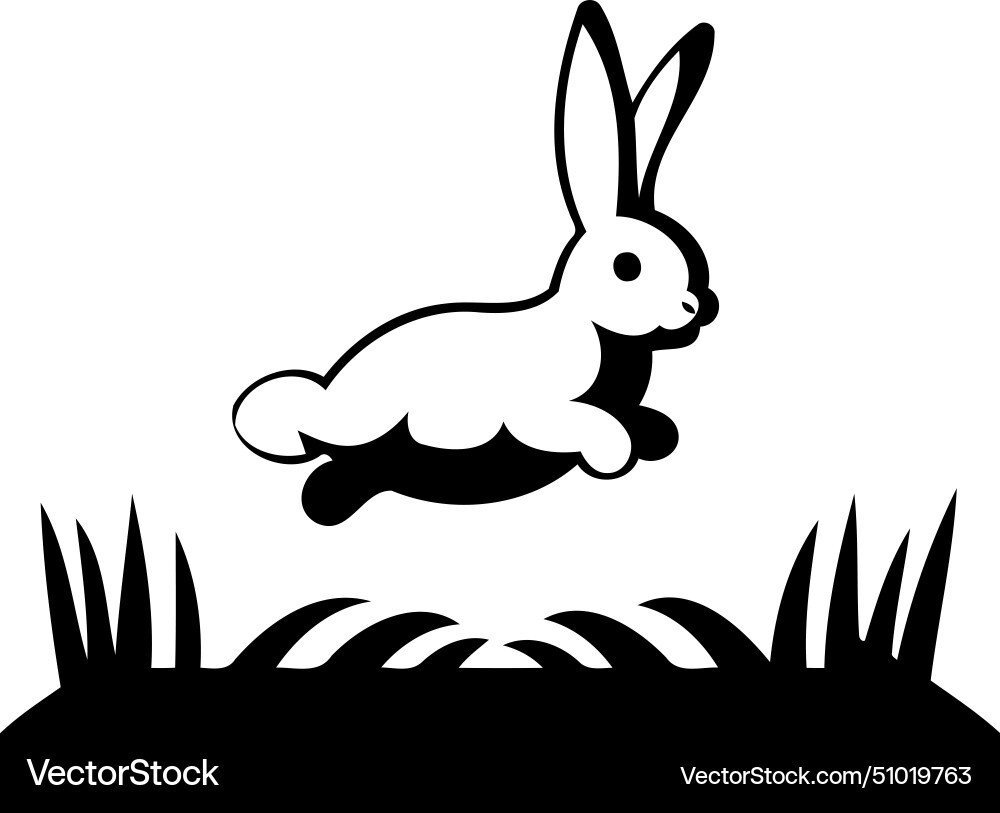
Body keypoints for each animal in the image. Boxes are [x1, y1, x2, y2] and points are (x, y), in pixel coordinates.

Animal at [233, 1, 718, 525]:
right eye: (627, 266)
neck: (587, 322)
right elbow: (585, 421)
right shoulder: (536, 410)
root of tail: (326, 403)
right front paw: (612, 451)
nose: (695, 308)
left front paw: (655, 433)